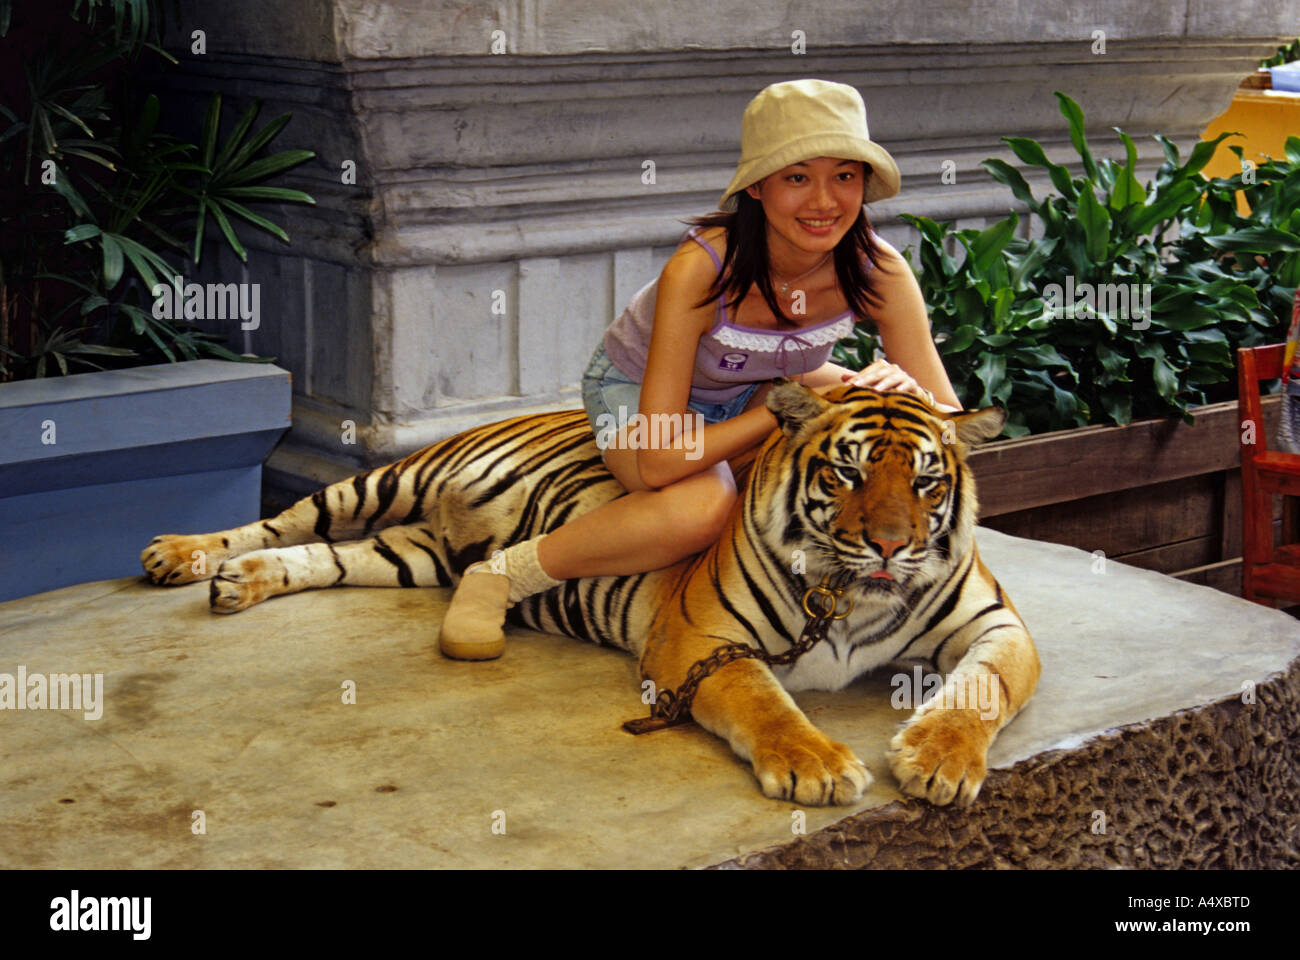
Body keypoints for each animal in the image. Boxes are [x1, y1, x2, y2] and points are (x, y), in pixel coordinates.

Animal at [139, 378, 1040, 808]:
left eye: (925, 482)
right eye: (847, 472)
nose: (890, 545)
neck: (848, 597)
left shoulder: (999, 624)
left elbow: (982, 689)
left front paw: (938, 761)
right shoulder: (700, 640)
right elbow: (764, 700)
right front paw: (816, 765)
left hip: (410, 555)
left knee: (326, 557)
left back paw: (244, 584)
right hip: (384, 480)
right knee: (283, 518)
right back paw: (183, 555)